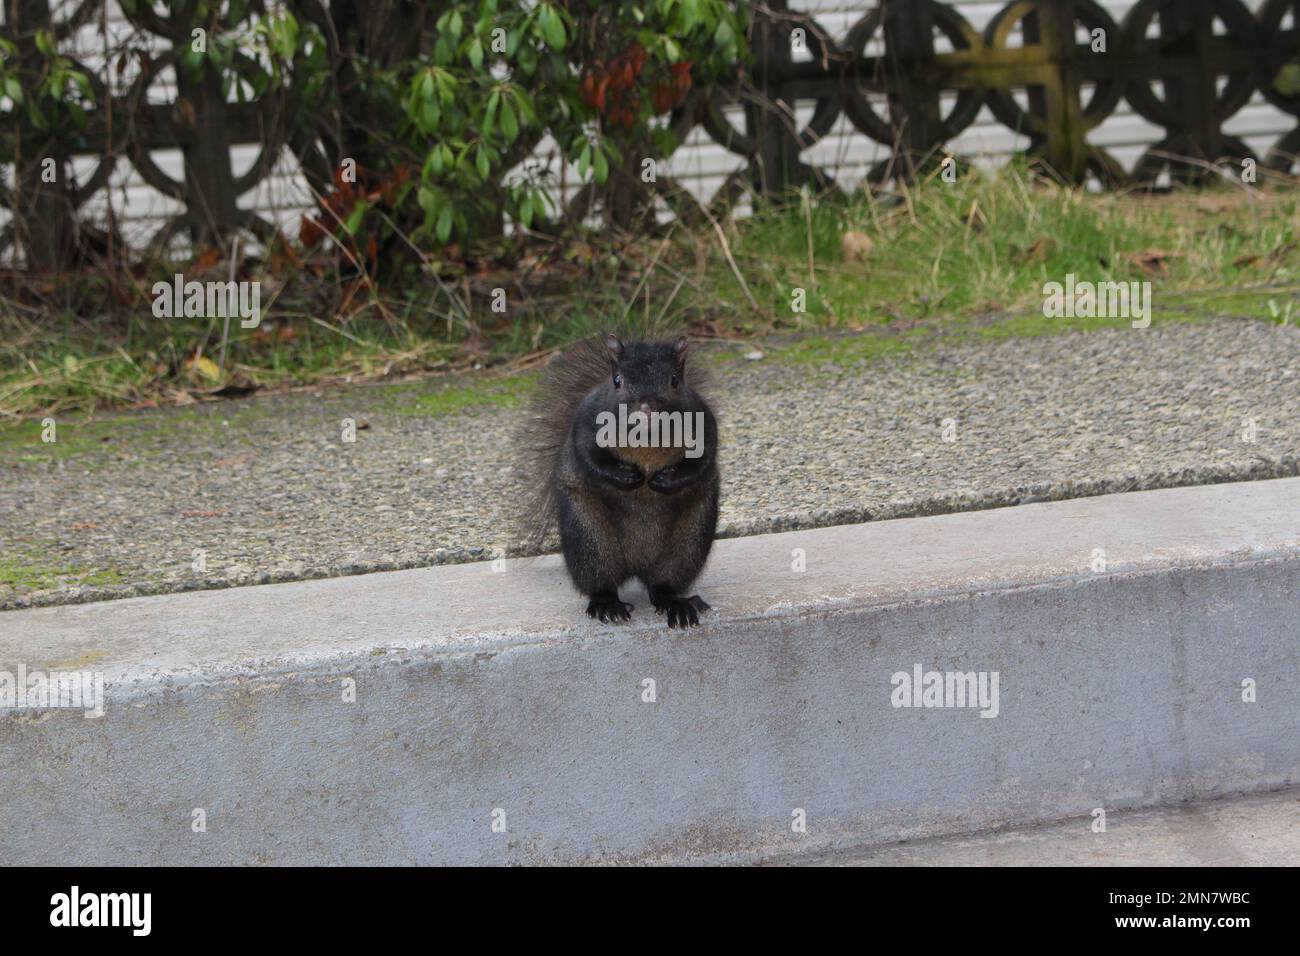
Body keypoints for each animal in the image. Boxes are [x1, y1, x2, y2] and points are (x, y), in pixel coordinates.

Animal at [519, 333, 719, 628]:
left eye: (674, 380)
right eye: (617, 380)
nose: (646, 408)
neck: (647, 439)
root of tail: (637, 566)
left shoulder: (704, 423)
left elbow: (703, 459)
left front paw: (666, 480)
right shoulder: (586, 420)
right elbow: (588, 454)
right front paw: (627, 476)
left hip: (689, 543)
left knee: (662, 585)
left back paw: (676, 603)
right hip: (589, 539)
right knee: (602, 580)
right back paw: (607, 604)